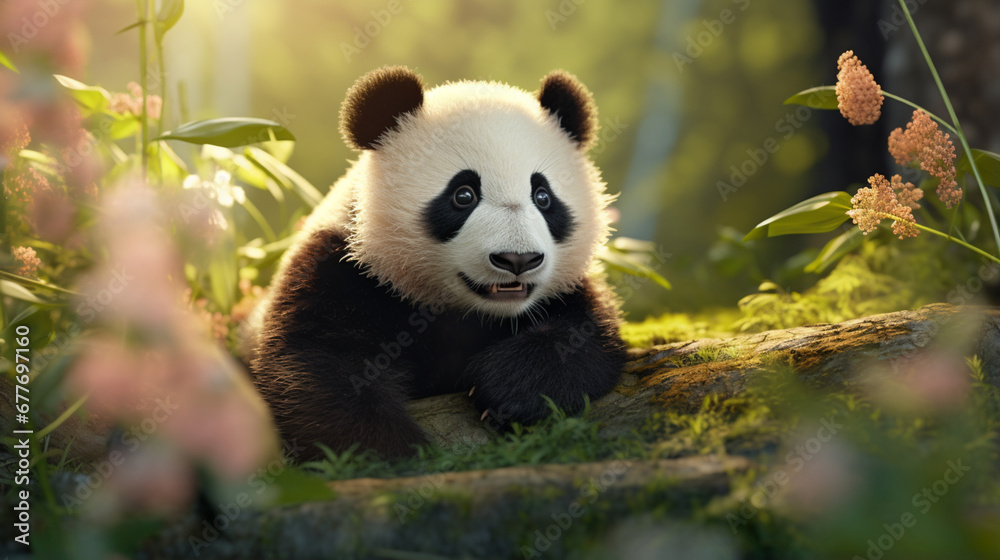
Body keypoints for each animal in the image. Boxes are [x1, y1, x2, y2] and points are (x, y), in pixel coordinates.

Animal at [251, 66, 626, 461]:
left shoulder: (567, 288)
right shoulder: (341, 267)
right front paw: (399, 453)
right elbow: (315, 366)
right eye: (463, 195)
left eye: (542, 196)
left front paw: (510, 387)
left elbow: (588, 334)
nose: (517, 259)